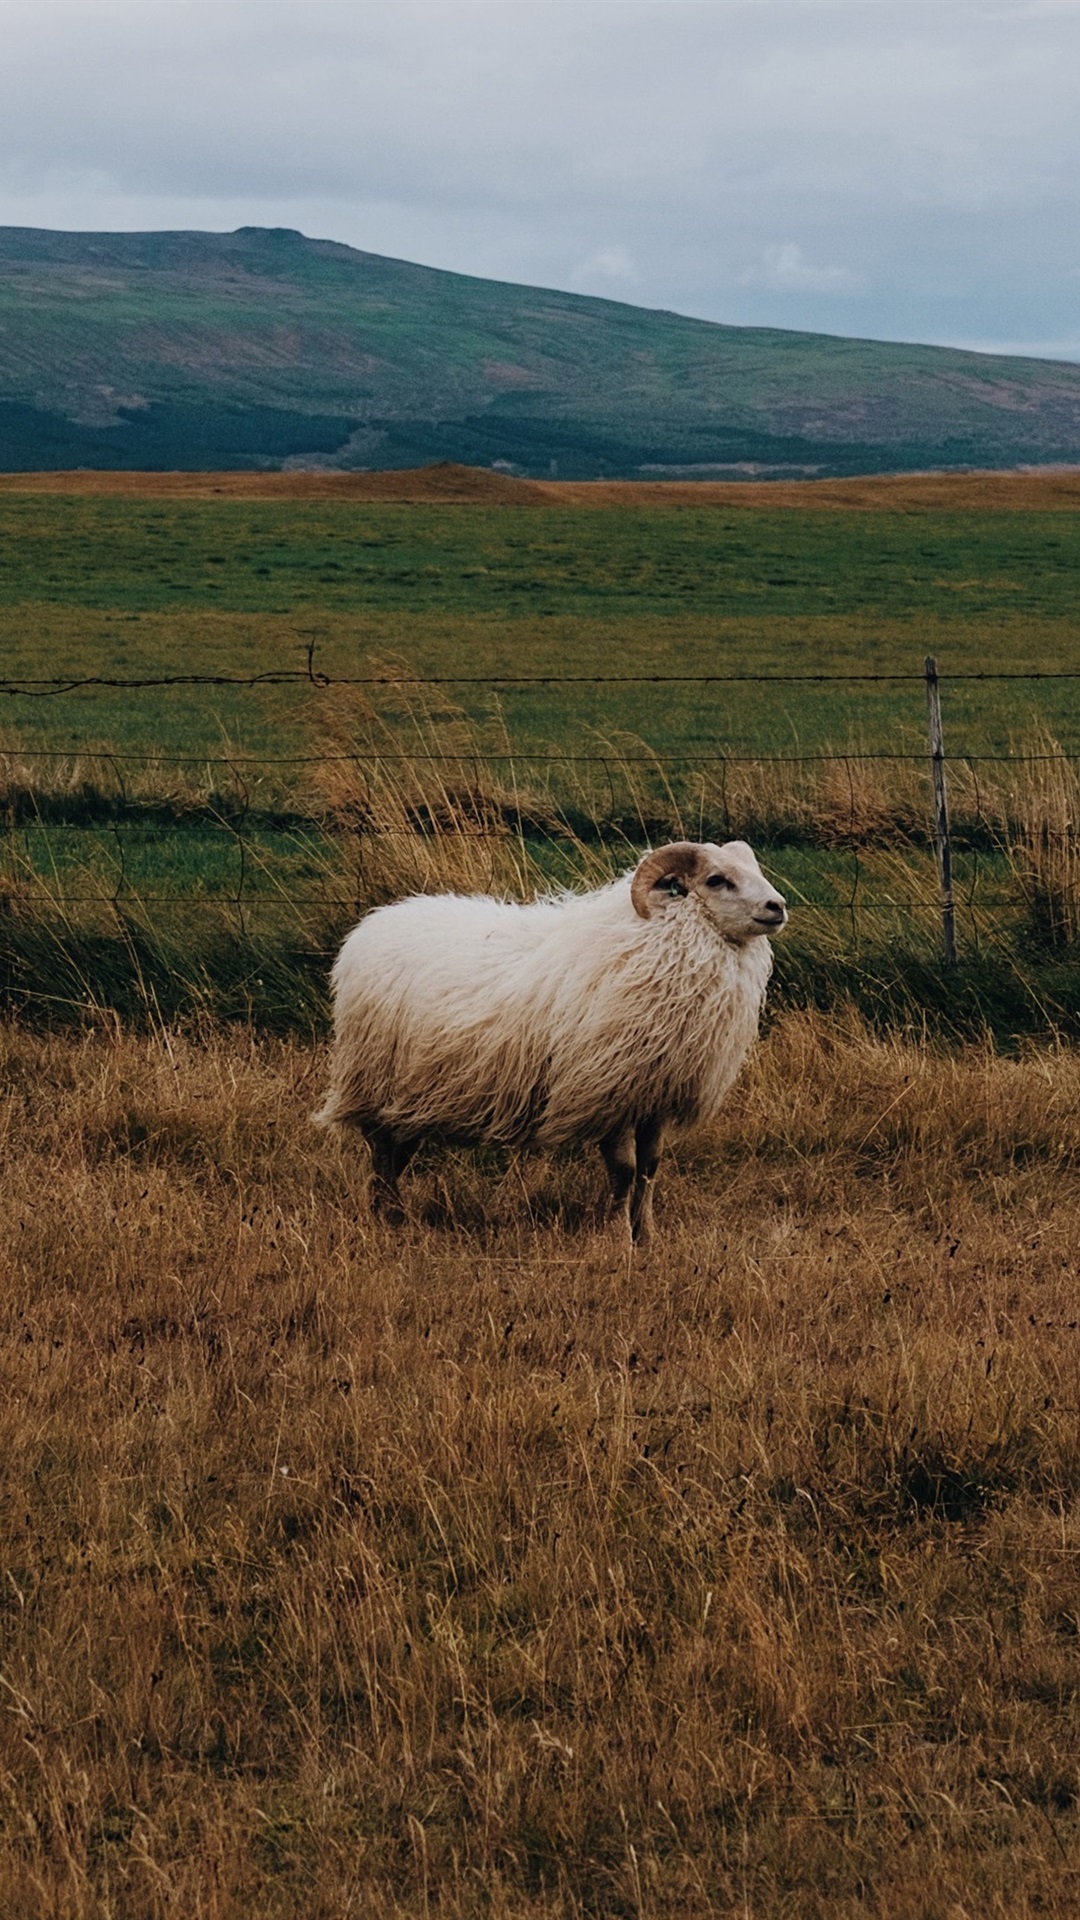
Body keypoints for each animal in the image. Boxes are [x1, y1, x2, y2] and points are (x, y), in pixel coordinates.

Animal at [313, 840, 787, 1244]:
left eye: (755, 870)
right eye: (717, 880)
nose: (778, 906)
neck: (659, 941)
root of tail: (375, 922)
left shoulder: (654, 1093)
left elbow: (649, 1169)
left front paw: (647, 1237)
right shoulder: (607, 1091)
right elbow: (624, 1171)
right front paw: (618, 1240)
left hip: (411, 1094)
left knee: (396, 1152)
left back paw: (391, 1213)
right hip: (374, 1080)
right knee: (380, 1151)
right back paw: (386, 1217)